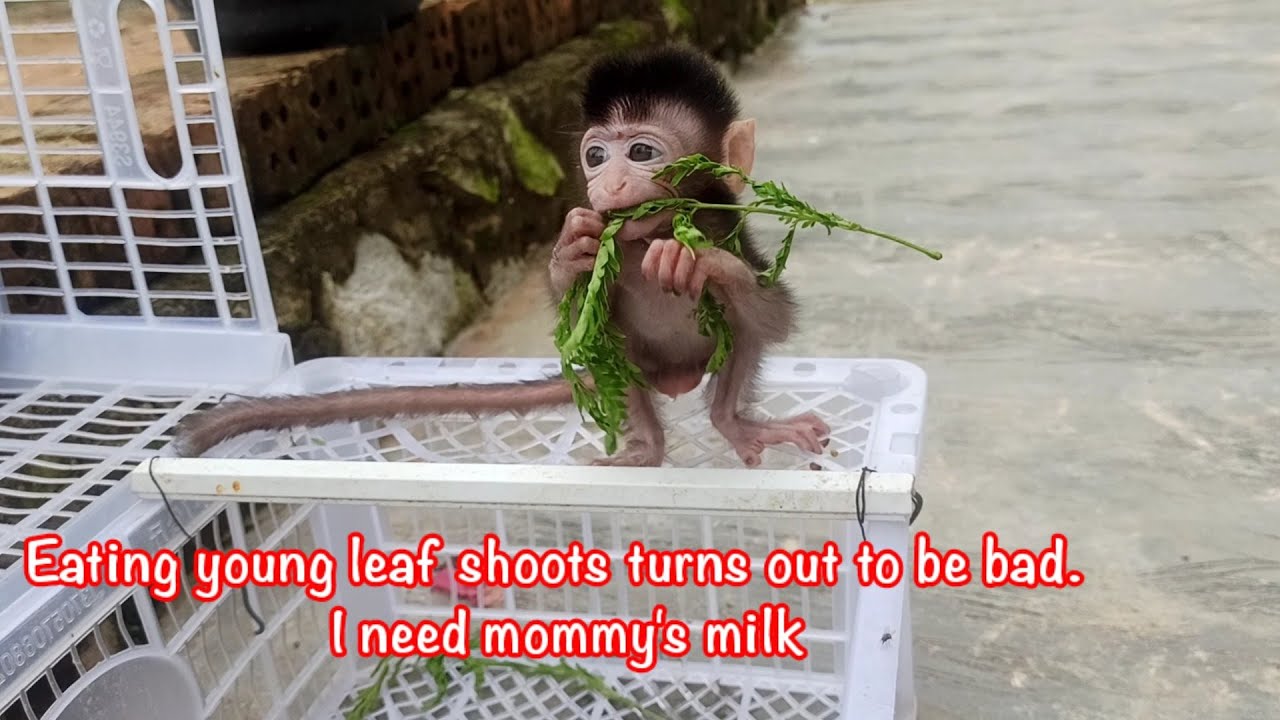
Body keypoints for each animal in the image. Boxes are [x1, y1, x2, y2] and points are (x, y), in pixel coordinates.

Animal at [170, 45, 830, 598]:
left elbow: (771, 317)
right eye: (596, 155)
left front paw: (702, 262)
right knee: (612, 351)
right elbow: (582, 315)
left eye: (641, 152)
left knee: (741, 340)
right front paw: (567, 254)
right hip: (639, 368)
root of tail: (677, 377)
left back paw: (732, 424)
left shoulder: (725, 227)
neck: (647, 236)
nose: (607, 182)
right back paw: (648, 450)